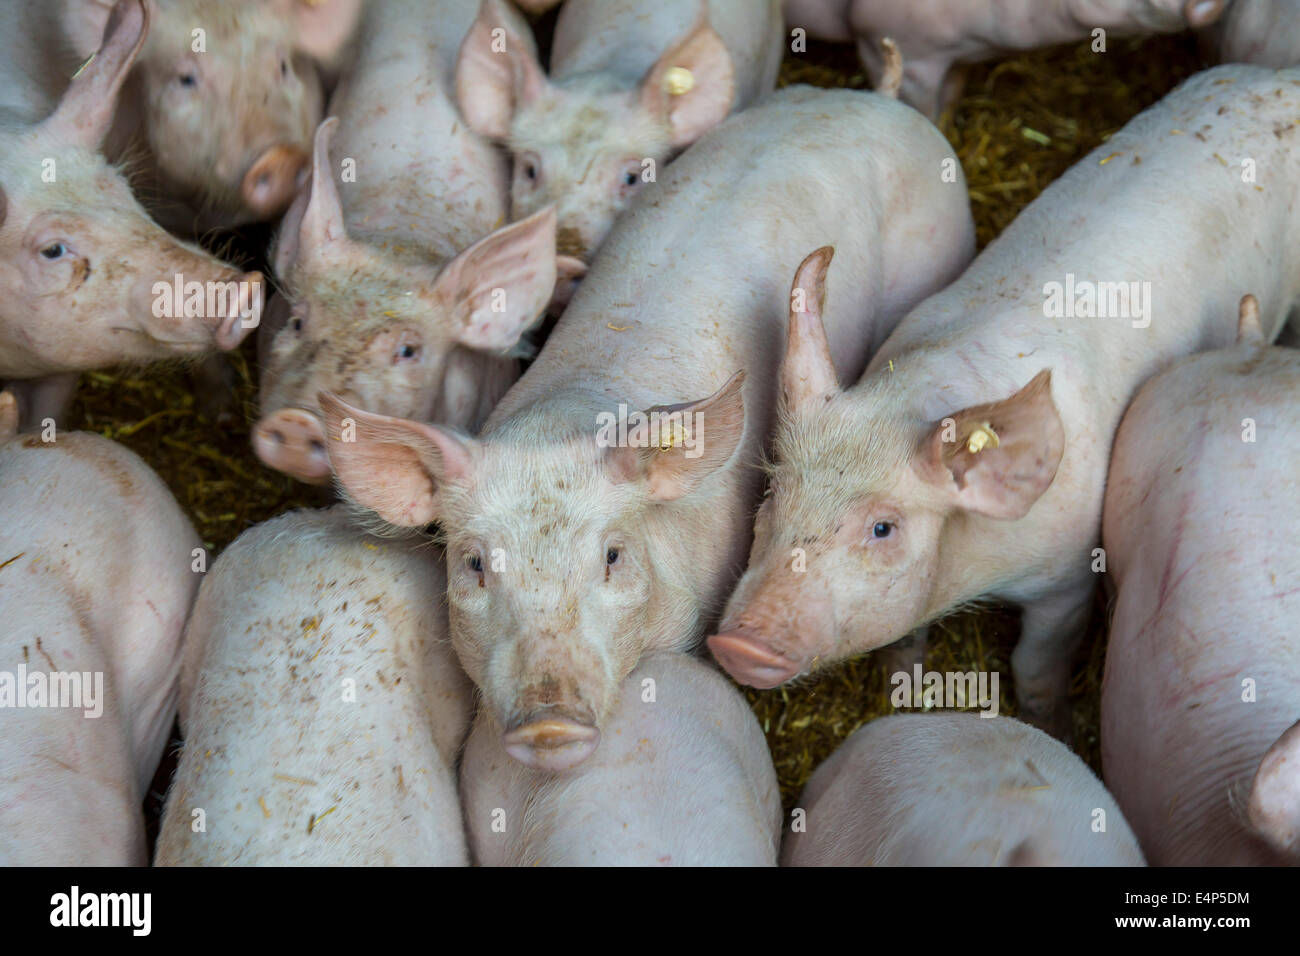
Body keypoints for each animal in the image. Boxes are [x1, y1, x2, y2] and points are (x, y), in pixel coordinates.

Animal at [708, 65, 1300, 740]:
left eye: (883, 528)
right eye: (773, 496)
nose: (737, 645)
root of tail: (1279, 76)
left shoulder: (1068, 578)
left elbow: (1034, 663)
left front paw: (1053, 727)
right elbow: (903, 643)